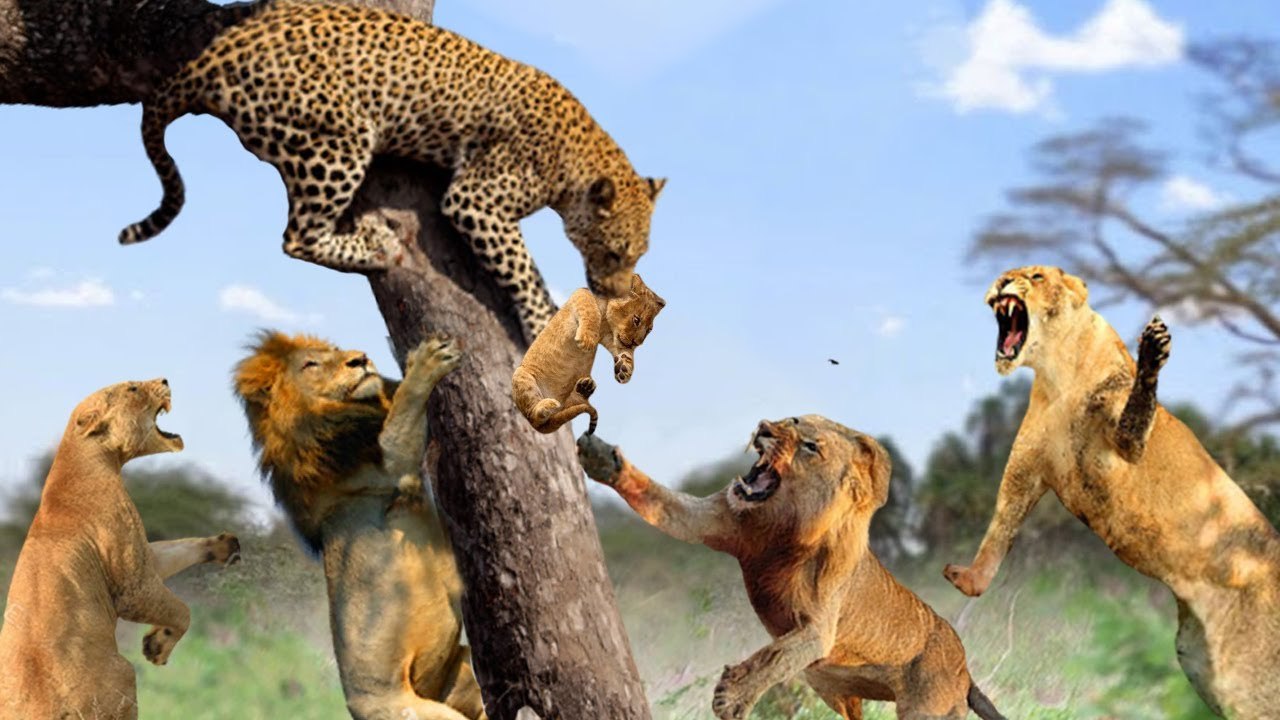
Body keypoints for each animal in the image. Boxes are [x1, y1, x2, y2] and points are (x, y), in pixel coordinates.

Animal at [0, 379, 241, 720]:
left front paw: (225, 546)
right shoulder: (130, 581)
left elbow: (174, 551)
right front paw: (156, 647)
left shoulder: (142, 554)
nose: (165, 379)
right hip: (122, 674)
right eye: (133, 389)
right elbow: (181, 609)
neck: (86, 458)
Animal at [120, 0, 666, 343]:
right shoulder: (475, 198)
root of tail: (211, 58)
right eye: (614, 252)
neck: (579, 157)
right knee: (297, 237)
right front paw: (542, 320)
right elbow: (524, 269)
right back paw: (374, 246)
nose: (616, 295)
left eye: (638, 256)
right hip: (340, 139)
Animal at [233, 332, 485, 720]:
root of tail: (353, 708)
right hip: (419, 711)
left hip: (458, 671)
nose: (360, 359)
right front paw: (426, 363)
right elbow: (406, 408)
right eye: (311, 364)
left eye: (335, 351)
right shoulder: (389, 465)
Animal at [578, 418, 1006, 720]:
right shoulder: (708, 519)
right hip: (835, 690)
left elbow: (777, 655)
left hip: (928, 707)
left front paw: (733, 696)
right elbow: (656, 497)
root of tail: (964, 664)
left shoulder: (820, 629)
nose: (765, 427)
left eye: (810, 446)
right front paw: (601, 458)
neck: (781, 525)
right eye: (792, 419)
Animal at [943, 265, 1280, 717]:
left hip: (1251, 678)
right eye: (1006, 273)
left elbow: (1138, 408)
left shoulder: (1126, 446)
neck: (1058, 373)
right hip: (1205, 670)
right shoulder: (1026, 468)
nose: (1001, 283)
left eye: (1035, 275)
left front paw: (1153, 351)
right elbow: (1001, 526)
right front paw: (971, 581)